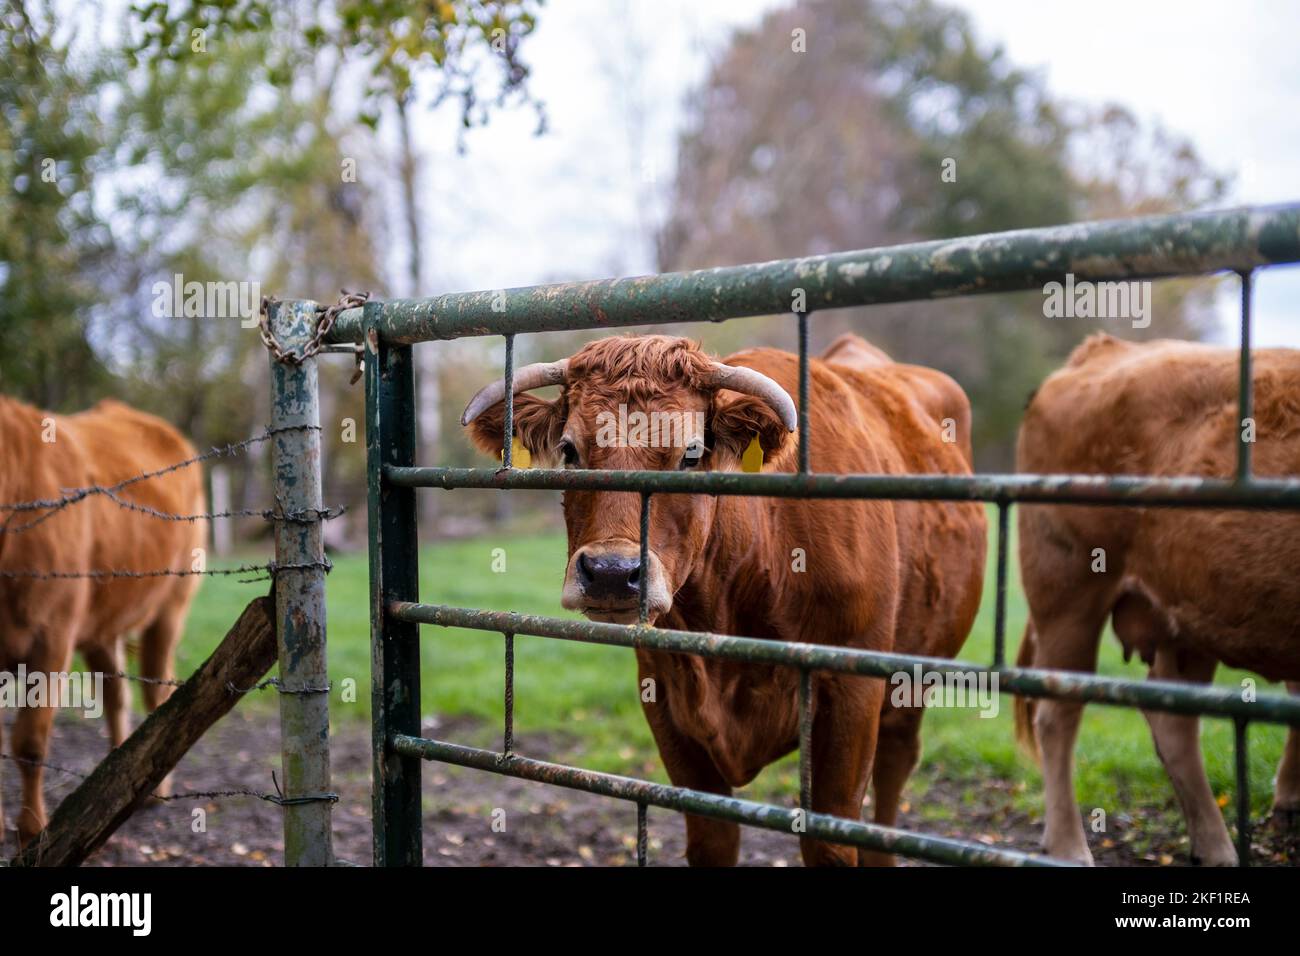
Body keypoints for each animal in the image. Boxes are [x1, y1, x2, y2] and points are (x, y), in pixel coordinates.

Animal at [0, 396, 206, 849]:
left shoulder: (52, 637)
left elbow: (30, 742)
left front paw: (31, 829)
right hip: (101, 622)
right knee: (116, 692)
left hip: (171, 605)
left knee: (157, 691)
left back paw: (155, 792)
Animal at [462, 333, 987, 866]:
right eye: (569, 450)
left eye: (692, 452)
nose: (611, 574)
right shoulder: (665, 696)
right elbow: (713, 837)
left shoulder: (851, 693)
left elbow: (831, 841)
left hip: (914, 676)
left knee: (894, 768)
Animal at [1014, 333, 1300, 865]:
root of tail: (1104, 349)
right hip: (1069, 598)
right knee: (1057, 715)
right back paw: (1069, 846)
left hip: (1190, 619)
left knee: (1173, 721)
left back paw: (1216, 846)